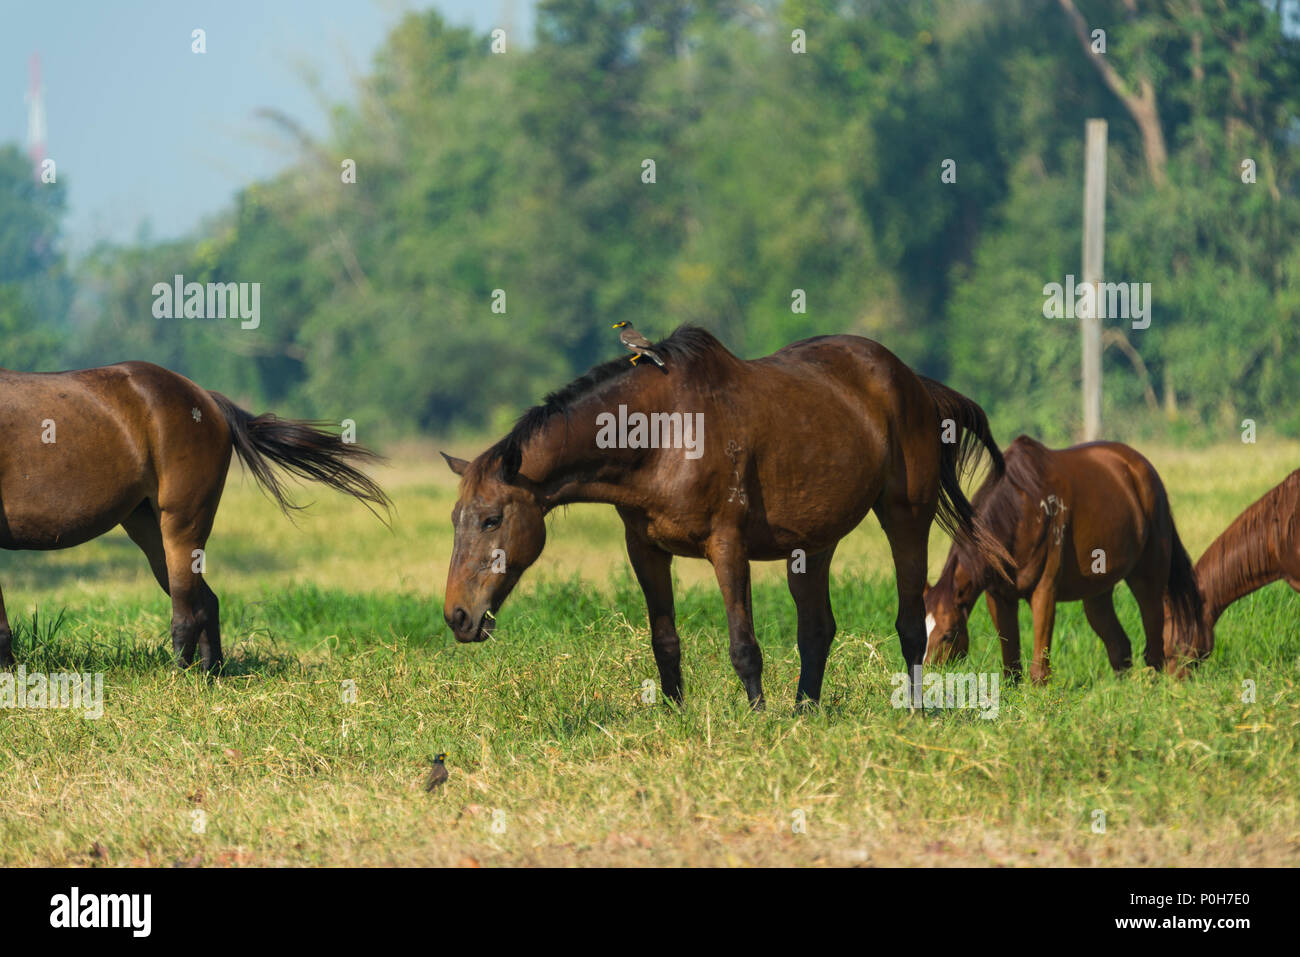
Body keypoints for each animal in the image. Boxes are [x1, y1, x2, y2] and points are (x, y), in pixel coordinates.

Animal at [0, 362, 390, 673]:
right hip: (149, 528)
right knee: (206, 601)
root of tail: (207, 399)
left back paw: (180, 676)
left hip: (181, 525)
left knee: (186, 611)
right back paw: (210, 671)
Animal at [440, 325, 1009, 710]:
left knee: (910, 624)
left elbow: (743, 646)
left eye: (491, 519)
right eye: (455, 519)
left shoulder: (727, 545)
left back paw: (912, 710)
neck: (662, 434)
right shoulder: (645, 550)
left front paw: (757, 721)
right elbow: (665, 642)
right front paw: (675, 715)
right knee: (817, 630)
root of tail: (912, 382)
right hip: (813, 544)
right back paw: (804, 712)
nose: (457, 617)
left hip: (905, 517)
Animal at [923, 436, 1206, 682]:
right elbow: (1012, 669)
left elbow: (1040, 670)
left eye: (948, 634)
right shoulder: (999, 597)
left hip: (1147, 576)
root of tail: (1143, 471)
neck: (1023, 511)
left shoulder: (1044, 590)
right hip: (1097, 592)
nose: (925, 677)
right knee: (1119, 646)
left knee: (1154, 646)